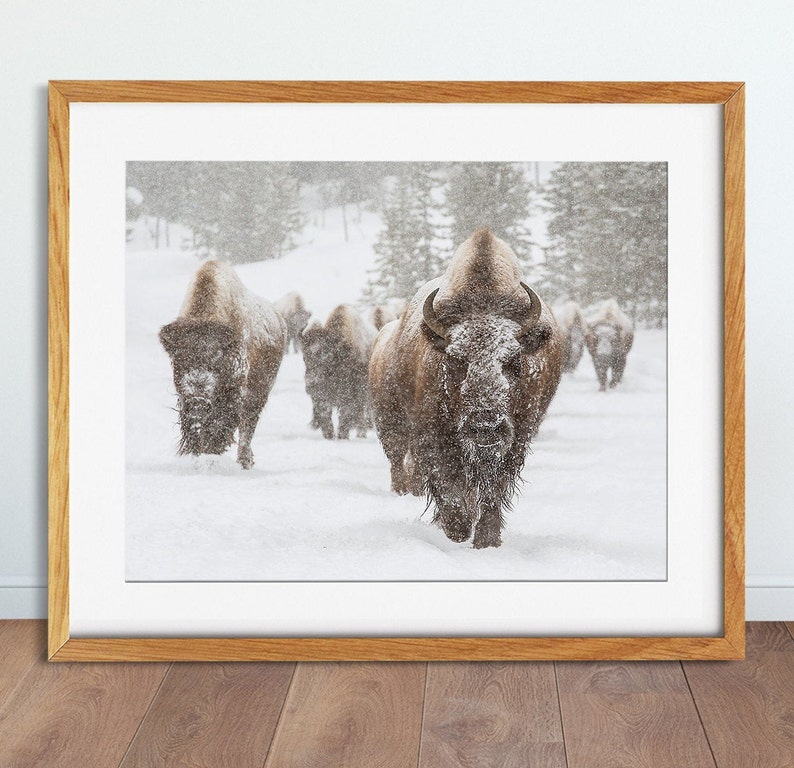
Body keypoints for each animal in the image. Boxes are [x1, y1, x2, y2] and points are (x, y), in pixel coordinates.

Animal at [159, 260, 287, 469]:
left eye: (217, 359)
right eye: (180, 358)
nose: (198, 401)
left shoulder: (235, 391)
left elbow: (222, 425)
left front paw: (212, 453)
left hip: (259, 394)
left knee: (247, 427)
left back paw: (244, 461)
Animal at [300, 304, 377, 439]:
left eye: (327, 357)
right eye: (305, 357)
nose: (311, 383)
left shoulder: (349, 394)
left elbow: (345, 413)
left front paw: (342, 435)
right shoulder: (321, 396)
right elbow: (325, 413)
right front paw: (329, 434)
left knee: (361, 411)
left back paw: (361, 433)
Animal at [369, 228, 563, 548]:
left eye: (513, 360)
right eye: (456, 358)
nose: (485, 425)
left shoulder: (514, 442)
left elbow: (493, 490)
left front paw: (487, 540)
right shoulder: (434, 439)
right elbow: (449, 487)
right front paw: (457, 531)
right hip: (391, 422)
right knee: (399, 461)